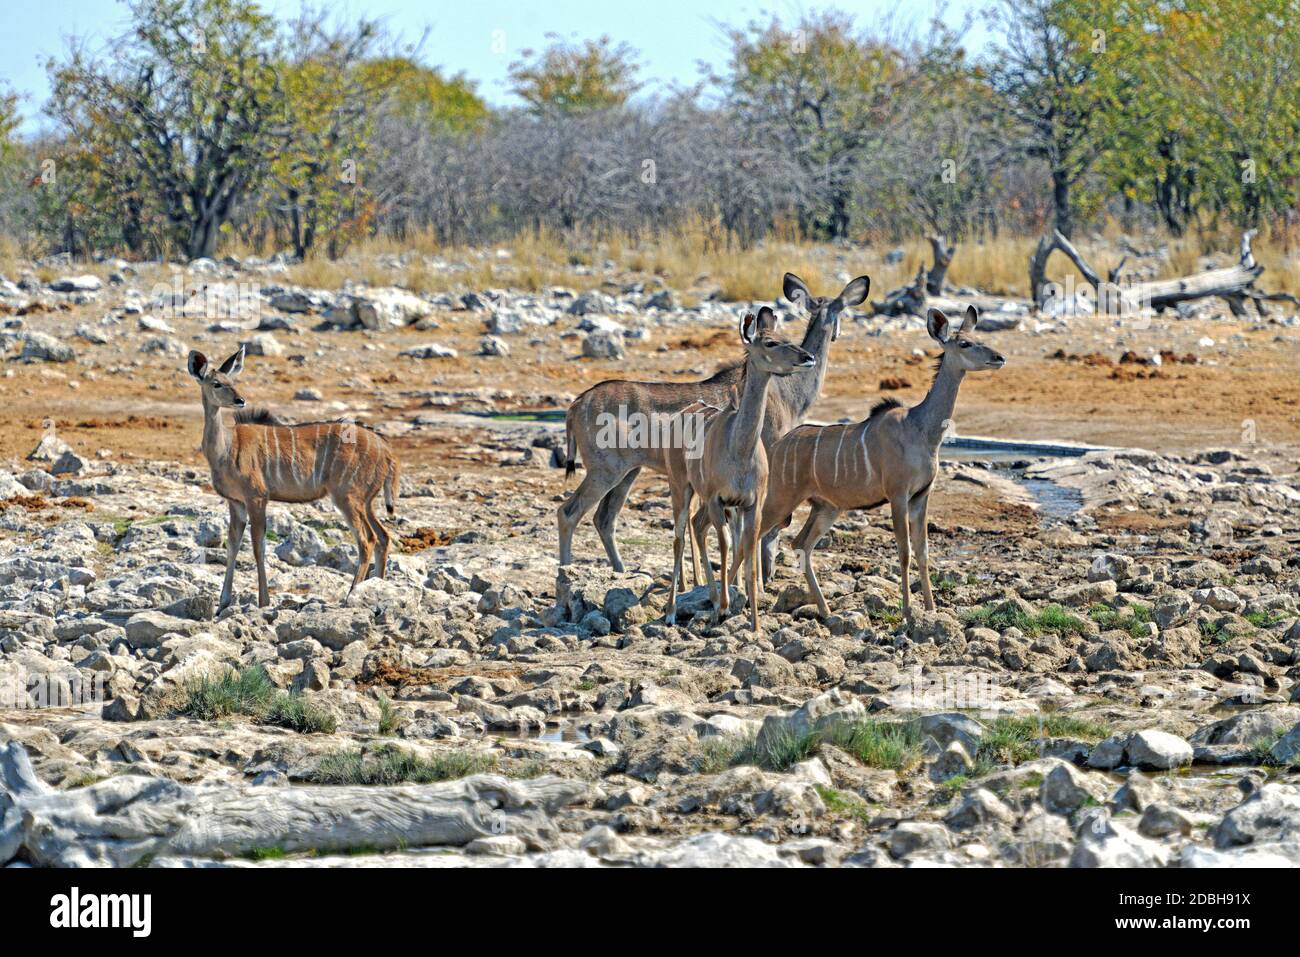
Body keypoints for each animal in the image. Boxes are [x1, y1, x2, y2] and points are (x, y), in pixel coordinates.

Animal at [187, 346, 401, 611]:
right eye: (216, 383)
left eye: (232, 381)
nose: (240, 400)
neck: (226, 448)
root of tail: (387, 450)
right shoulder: (236, 502)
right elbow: (233, 544)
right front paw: (222, 605)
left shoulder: (257, 497)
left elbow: (258, 545)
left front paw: (263, 602)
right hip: (366, 501)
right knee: (383, 537)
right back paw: (377, 589)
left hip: (347, 497)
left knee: (367, 539)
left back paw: (349, 597)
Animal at [558, 273, 869, 581]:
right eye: (771, 343)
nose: (808, 357)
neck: (785, 391)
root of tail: (577, 405)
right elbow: (764, 530)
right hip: (605, 472)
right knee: (569, 512)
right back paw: (565, 572)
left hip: (628, 473)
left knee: (604, 518)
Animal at [665, 308, 815, 630]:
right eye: (770, 342)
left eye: (786, 336)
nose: (808, 356)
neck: (740, 449)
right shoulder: (717, 499)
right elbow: (725, 547)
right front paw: (723, 608)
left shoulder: (751, 504)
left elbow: (747, 554)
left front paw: (754, 623)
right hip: (681, 488)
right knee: (679, 537)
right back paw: (672, 610)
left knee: (697, 527)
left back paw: (709, 597)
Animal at [755, 306, 1004, 622]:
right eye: (965, 343)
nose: (999, 357)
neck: (921, 429)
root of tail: (777, 448)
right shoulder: (898, 495)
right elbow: (905, 552)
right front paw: (909, 612)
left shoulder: (921, 496)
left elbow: (923, 551)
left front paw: (931, 608)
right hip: (782, 498)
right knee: (755, 533)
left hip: (826, 507)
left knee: (801, 544)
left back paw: (826, 610)